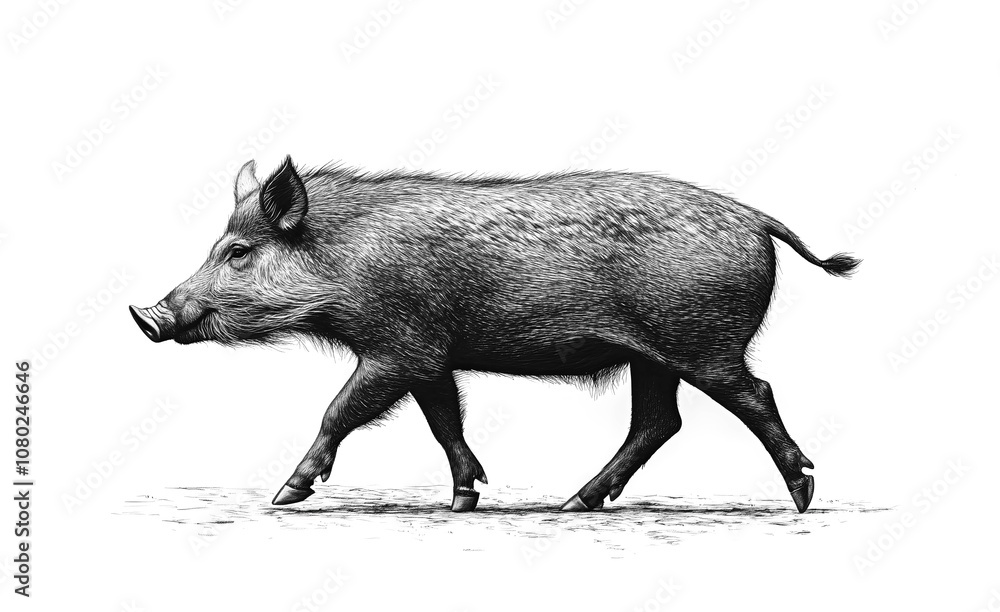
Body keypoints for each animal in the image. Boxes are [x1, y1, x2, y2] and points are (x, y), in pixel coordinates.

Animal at [130, 156, 859, 513]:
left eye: (238, 253)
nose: (147, 317)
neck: (343, 260)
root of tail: (757, 216)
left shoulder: (399, 347)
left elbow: (340, 410)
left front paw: (285, 497)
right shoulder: (429, 358)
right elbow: (443, 420)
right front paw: (465, 500)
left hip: (703, 343)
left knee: (755, 394)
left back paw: (801, 499)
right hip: (654, 356)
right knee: (658, 422)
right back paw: (572, 504)